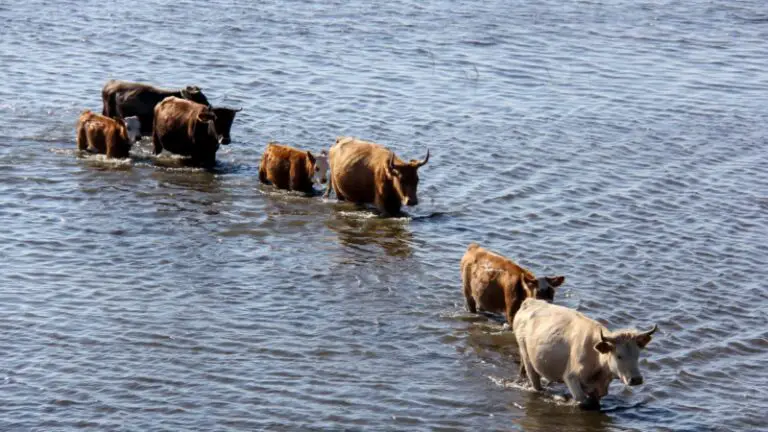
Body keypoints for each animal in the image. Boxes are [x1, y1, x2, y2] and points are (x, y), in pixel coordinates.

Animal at [513, 298, 658, 410]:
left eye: (637, 355)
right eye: (619, 355)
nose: (636, 379)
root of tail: (530, 302)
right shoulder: (571, 378)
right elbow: (583, 402)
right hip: (526, 353)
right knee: (535, 382)